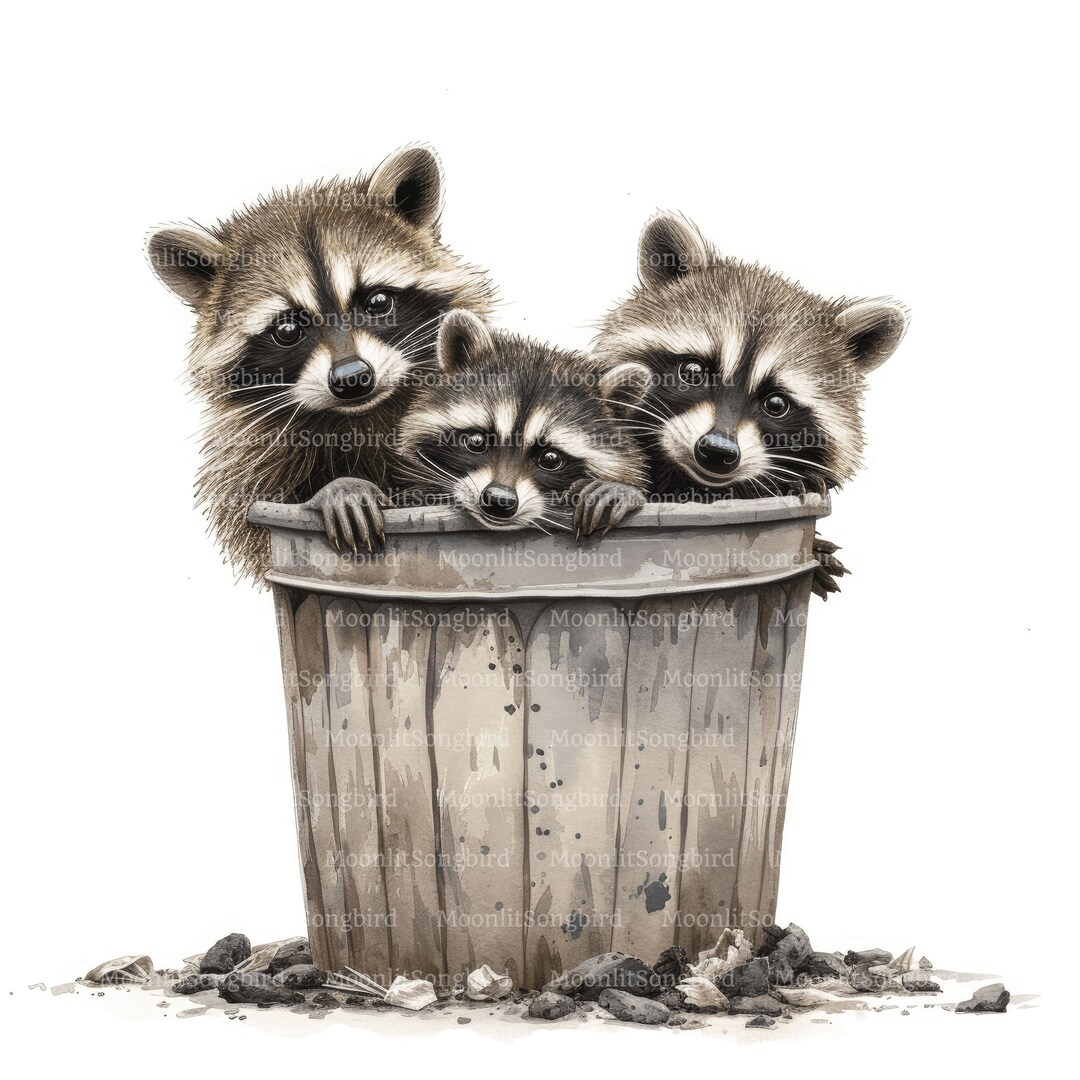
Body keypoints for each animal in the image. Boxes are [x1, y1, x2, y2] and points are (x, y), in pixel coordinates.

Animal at [147, 146, 494, 581]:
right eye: (288, 328)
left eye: (377, 301)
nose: (353, 378)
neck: (359, 416)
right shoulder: (250, 451)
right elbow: (247, 517)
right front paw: (339, 490)